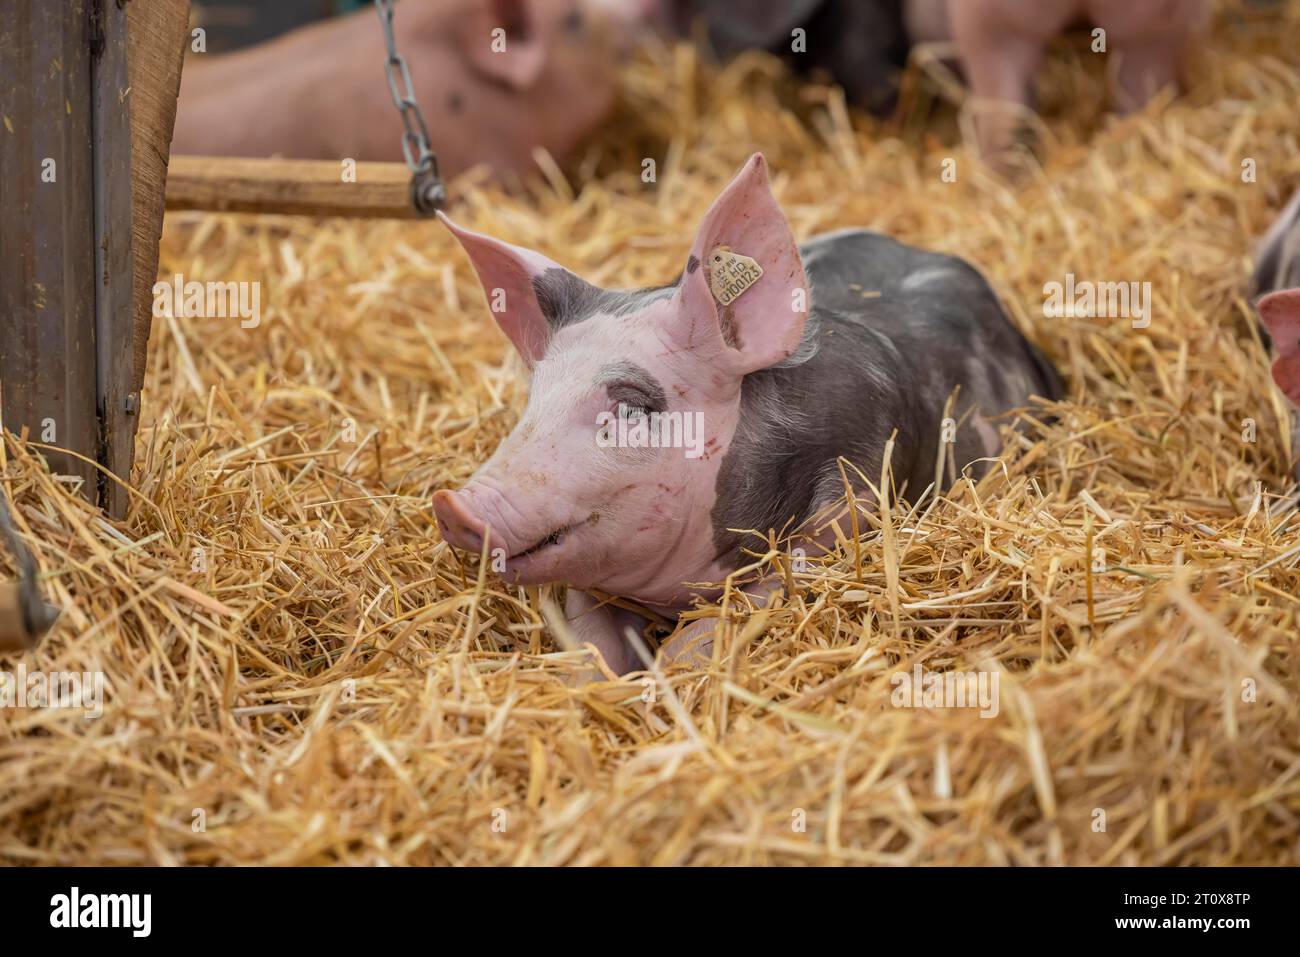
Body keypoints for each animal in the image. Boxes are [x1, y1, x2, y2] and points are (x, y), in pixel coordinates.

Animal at [433, 153, 1064, 675]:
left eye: (633, 406)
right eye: (534, 396)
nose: (453, 505)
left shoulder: (851, 510)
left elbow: (720, 623)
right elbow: (592, 644)